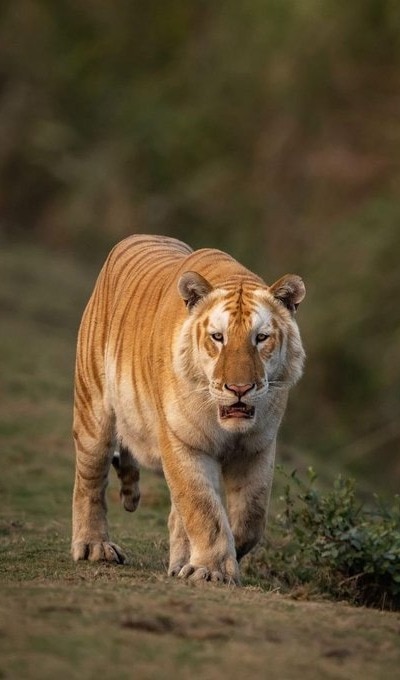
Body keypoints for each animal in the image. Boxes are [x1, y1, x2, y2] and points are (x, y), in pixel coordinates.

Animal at [72, 234, 305, 584]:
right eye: (218, 337)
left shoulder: (257, 447)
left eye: (261, 338)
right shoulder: (183, 441)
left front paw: (204, 563)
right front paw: (212, 570)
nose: (239, 389)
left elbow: (250, 517)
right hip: (93, 413)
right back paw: (94, 547)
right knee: (90, 481)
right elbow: (203, 510)